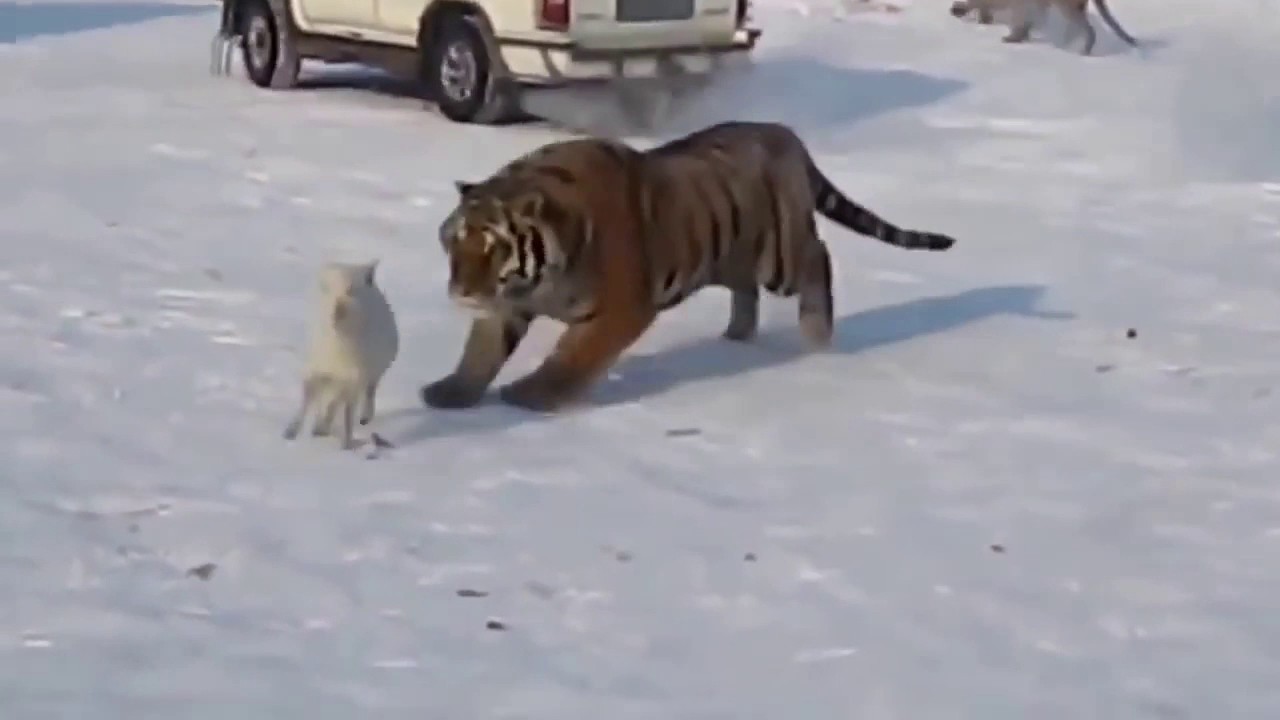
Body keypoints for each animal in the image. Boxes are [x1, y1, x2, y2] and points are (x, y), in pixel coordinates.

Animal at [421, 120, 957, 413]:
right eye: (454, 244)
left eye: (493, 248)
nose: (461, 293)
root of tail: (786, 133)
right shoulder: (506, 304)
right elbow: (480, 353)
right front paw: (451, 393)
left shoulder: (622, 307)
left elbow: (572, 355)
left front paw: (533, 396)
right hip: (733, 255)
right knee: (748, 291)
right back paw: (737, 336)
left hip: (779, 258)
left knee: (817, 257)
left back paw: (816, 337)